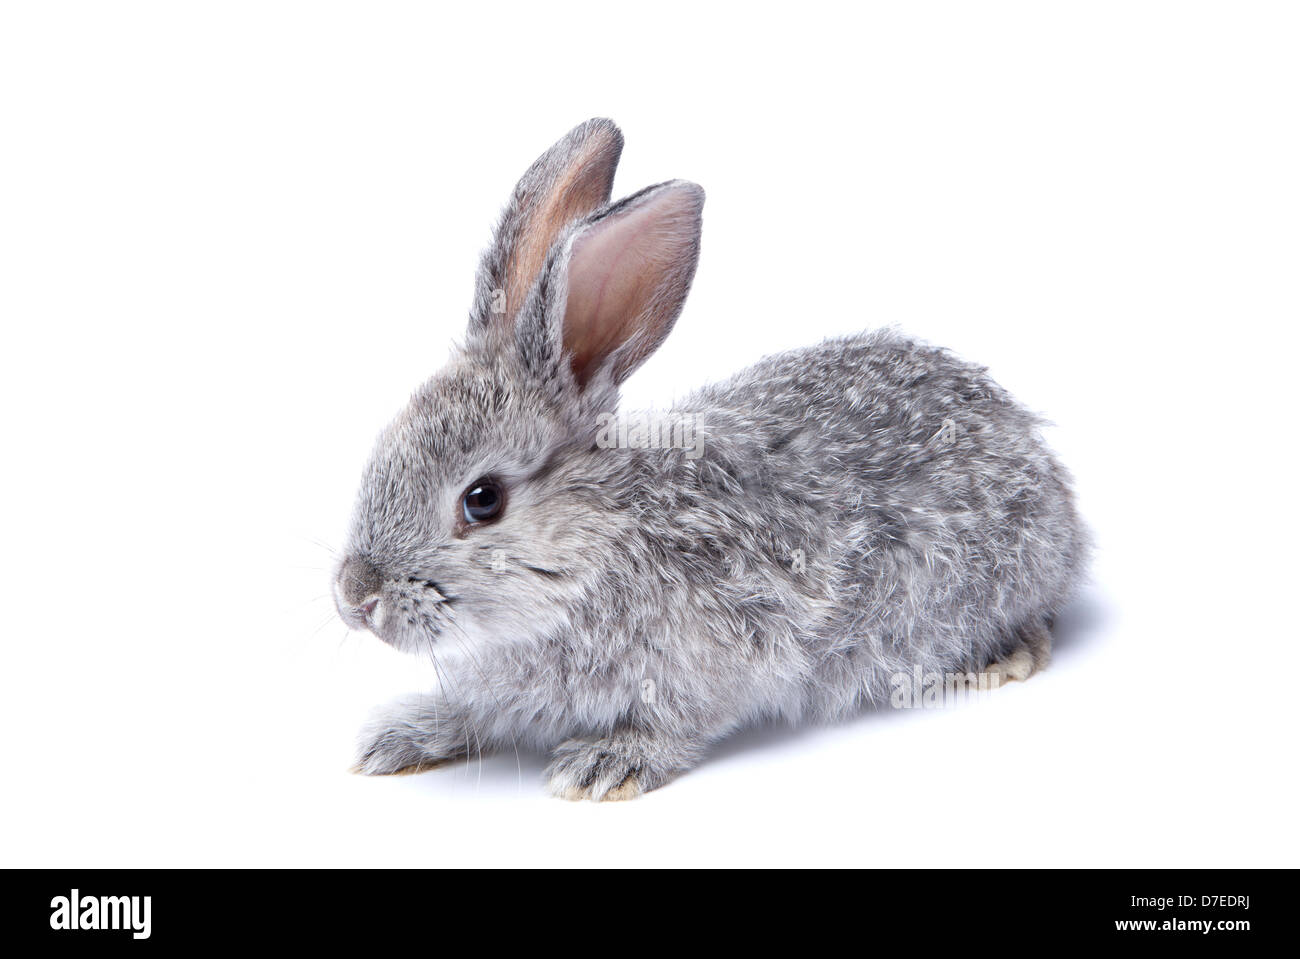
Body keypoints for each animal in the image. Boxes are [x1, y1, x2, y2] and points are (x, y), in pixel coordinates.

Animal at [333, 118, 1089, 800]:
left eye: (482, 499)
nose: (354, 596)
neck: (598, 545)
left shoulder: (718, 661)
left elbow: (676, 723)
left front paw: (608, 763)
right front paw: (401, 735)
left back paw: (1000, 659)